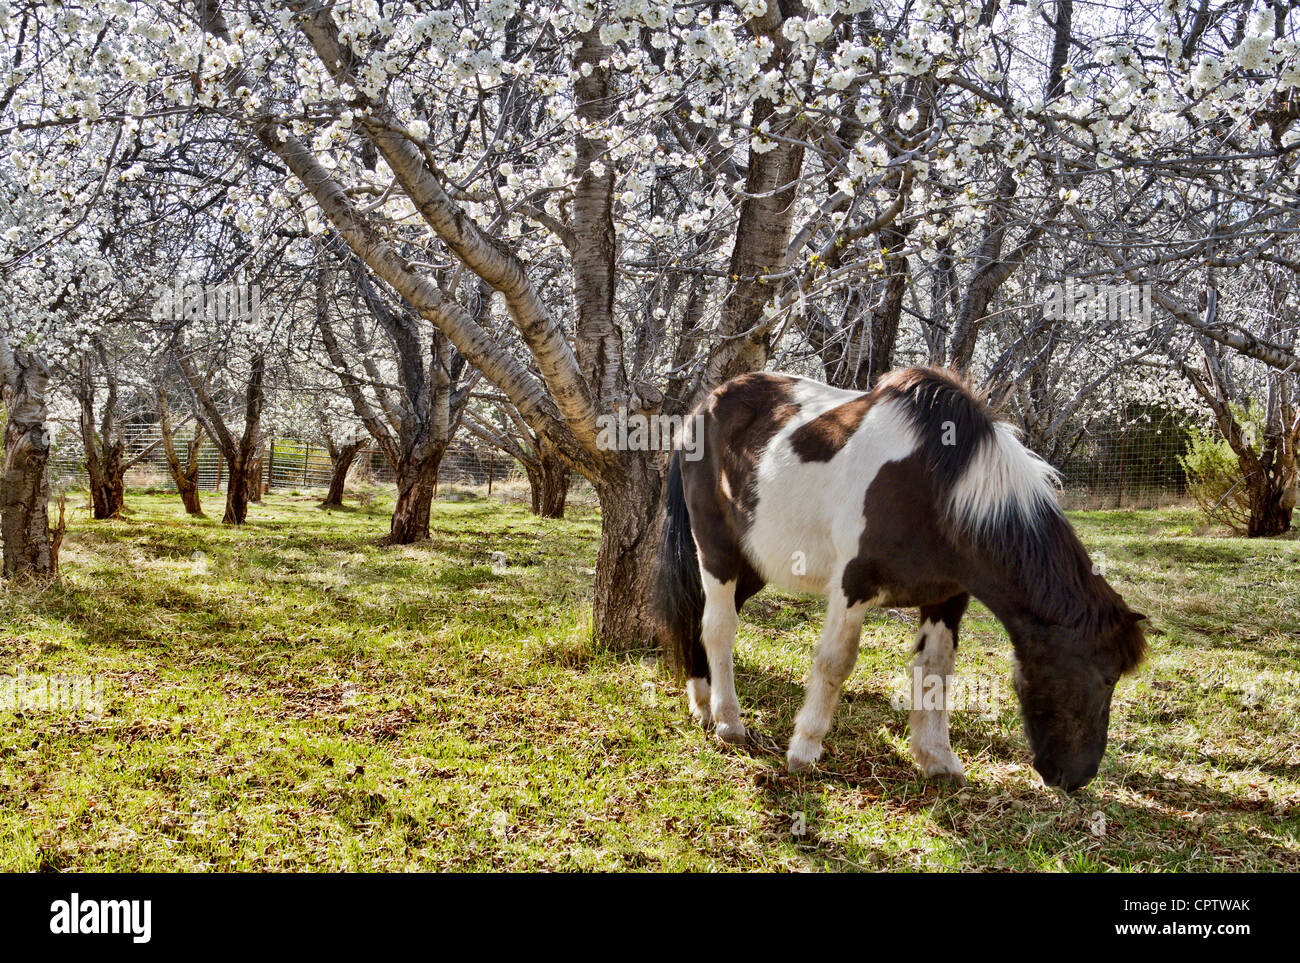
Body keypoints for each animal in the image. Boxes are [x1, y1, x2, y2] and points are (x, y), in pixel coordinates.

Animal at [656, 367, 1146, 792]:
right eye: (1106, 678)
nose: (1078, 777)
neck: (938, 487)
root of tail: (704, 407)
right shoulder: (853, 585)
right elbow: (835, 663)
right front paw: (805, 749)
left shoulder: (947, 598)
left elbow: (936, 670)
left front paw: (937, 758)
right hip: (717, 552)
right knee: (720, 628)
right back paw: (728, 721)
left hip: (755, 562)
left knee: (705, 621)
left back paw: (702, 699)